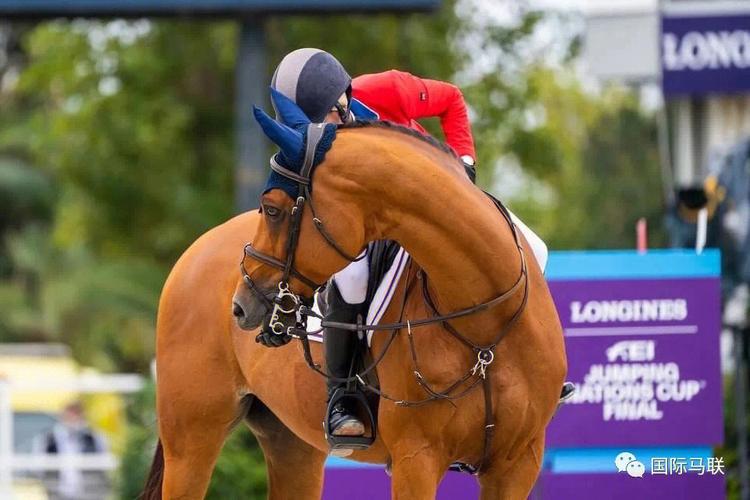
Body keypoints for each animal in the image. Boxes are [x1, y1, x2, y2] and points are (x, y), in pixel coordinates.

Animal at [141, 110, 567, 499]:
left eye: (274, 209)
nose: (242, 306)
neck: (484, 330)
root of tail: (198, 247)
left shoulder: (517, 465)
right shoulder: (417, 458)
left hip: (291, 443)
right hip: (192, 441)